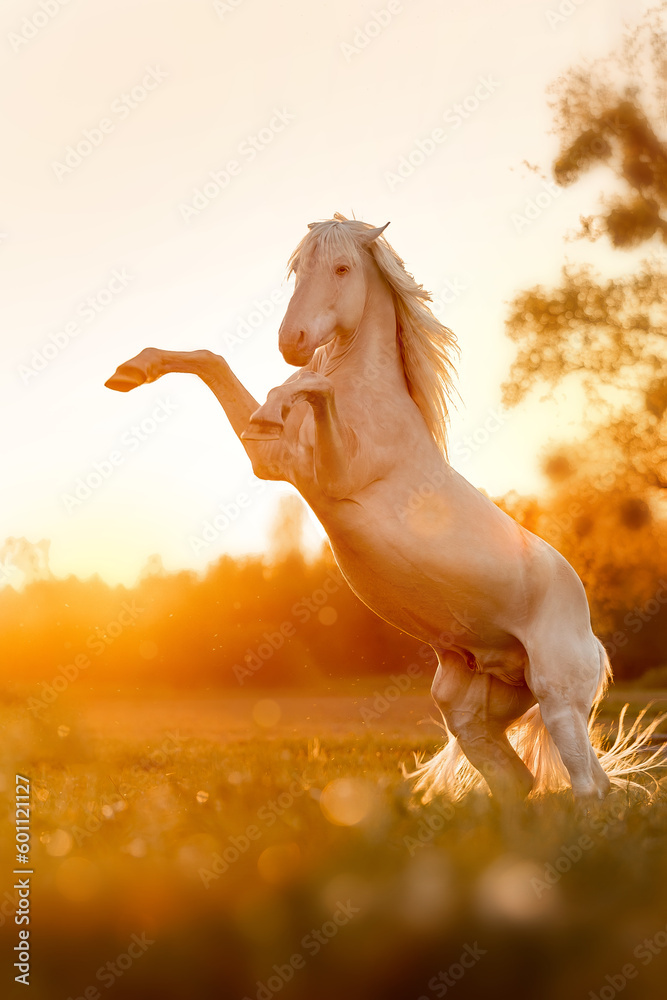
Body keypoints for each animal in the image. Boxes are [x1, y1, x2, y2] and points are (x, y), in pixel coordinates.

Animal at [105, 213, 663, 802]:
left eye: (342, 268)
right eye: (298, 268)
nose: (291, 342)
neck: (369, 395)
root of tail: (591, 633)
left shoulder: (336, 474)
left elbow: (312, 385)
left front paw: (277, 401)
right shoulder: (273, 462)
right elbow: (215, 363)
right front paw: (132, 371)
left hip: (558, 701)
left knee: (590, 787)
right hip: (472, 711)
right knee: (520, 780)